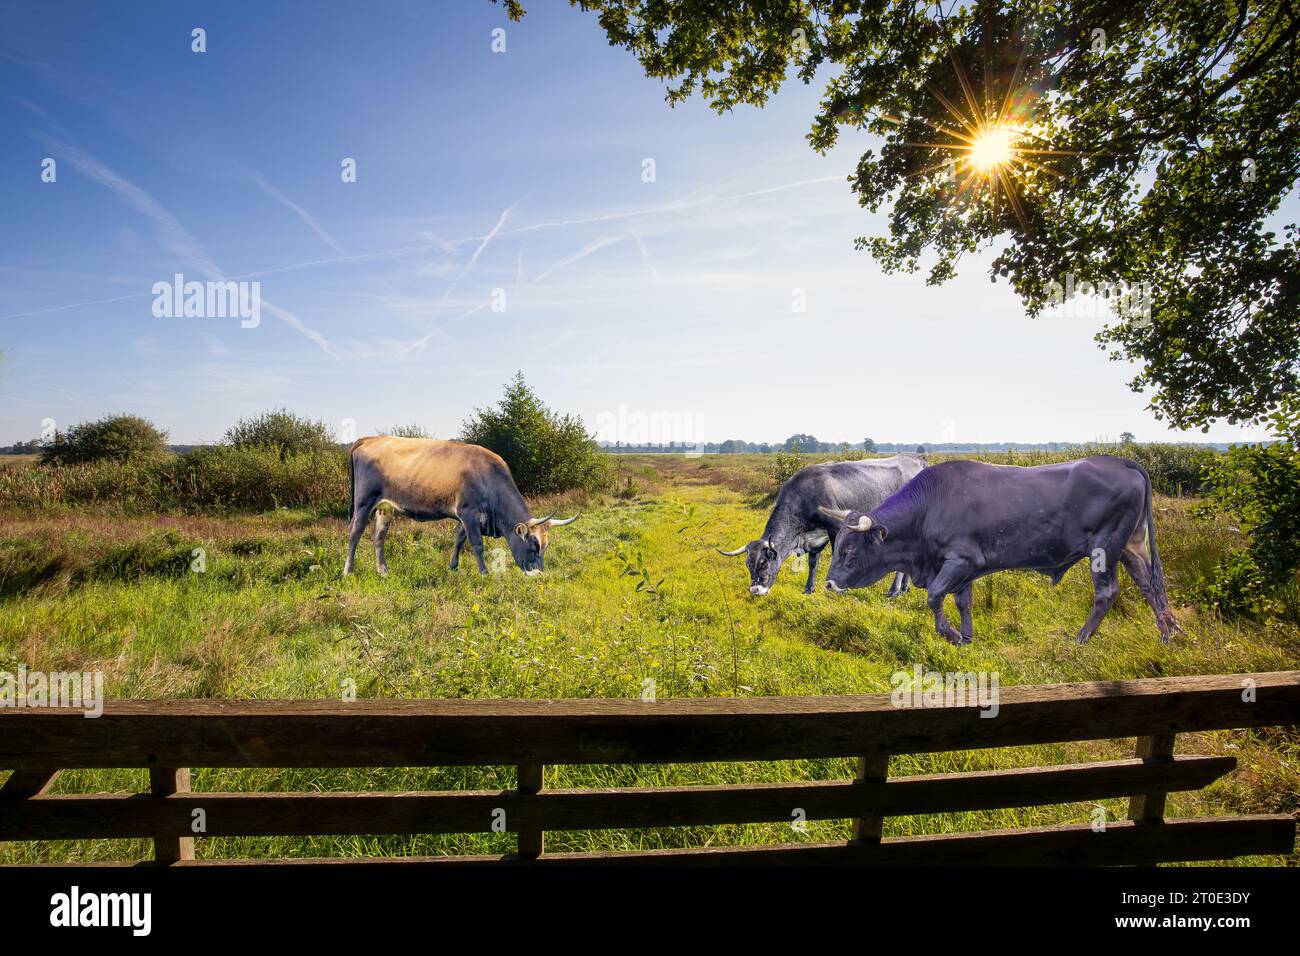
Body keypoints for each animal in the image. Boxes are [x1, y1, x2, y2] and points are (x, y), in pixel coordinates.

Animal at [344, 436, 577, 577]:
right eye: (532, 546)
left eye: (545, 546)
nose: (539, 575)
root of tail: (370, 439)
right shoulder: (468, 512)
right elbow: (476, 544)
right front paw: (484, 572)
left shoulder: (466, 517)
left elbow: (458, 541)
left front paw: (453, 568)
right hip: (364, 501)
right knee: (355, 533)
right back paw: (349, 570)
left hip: (385, 507)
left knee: (379, 536)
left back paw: (383, 570)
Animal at [718, 455, 926, 596]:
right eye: (748, 564)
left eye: (763, 562)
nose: (755, 590)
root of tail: (915, 461)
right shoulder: (816, 537)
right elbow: (813, 562)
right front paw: (809, 588)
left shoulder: (837, 528)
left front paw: (839, 589)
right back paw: (904, 588)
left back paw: (894, 590)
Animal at [819, 456, 1180, 645]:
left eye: (850, 549)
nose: (830, 583)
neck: (929, 507)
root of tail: (1121, 462)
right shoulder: (962, 570)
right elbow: (963, 602)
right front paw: (966, 636)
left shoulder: (959, 560)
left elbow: (935, 596)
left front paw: (951, 634)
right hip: (1131, 547)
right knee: (1151, 586)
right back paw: (1168, 632)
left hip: (1104, 549)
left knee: (1108, 592)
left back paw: (1081, 639)